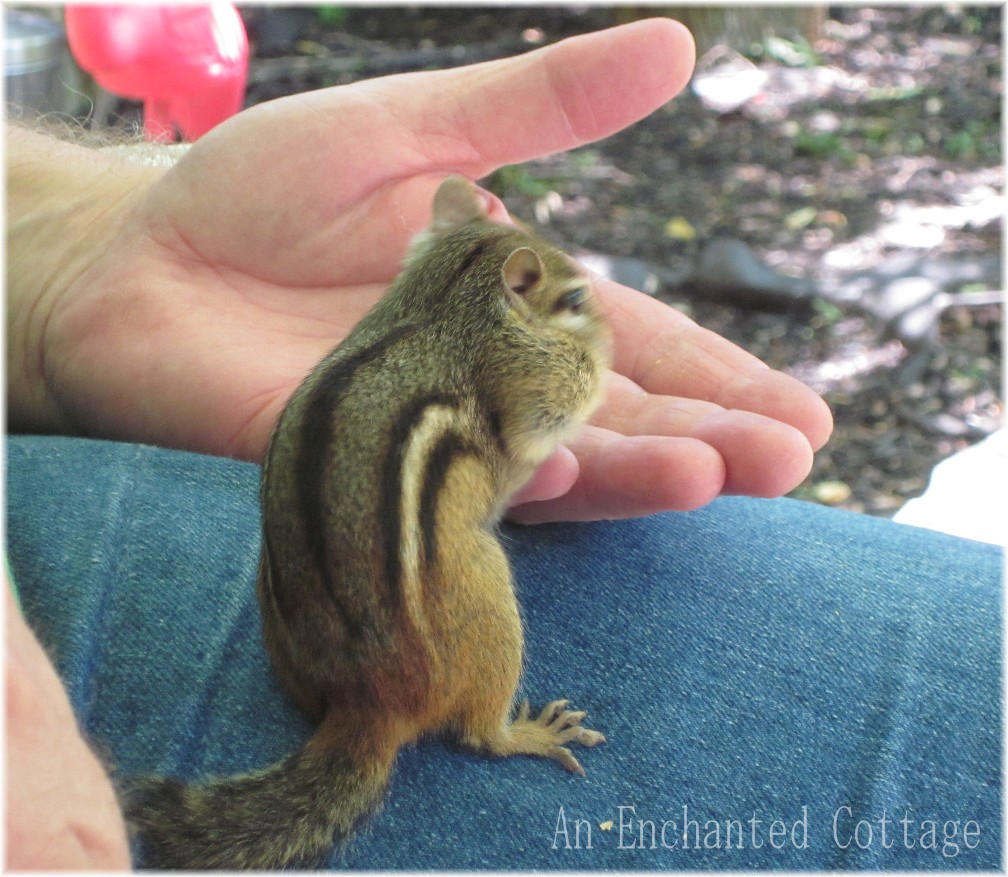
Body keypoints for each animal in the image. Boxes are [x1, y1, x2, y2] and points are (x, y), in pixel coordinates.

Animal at [126, 175, 612, 869]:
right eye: (572, 298)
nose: (608, 312)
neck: (445, 301)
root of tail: (371, 702)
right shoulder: (537, 383)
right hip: (490, 604)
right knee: (476, 737)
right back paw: (528, 734)